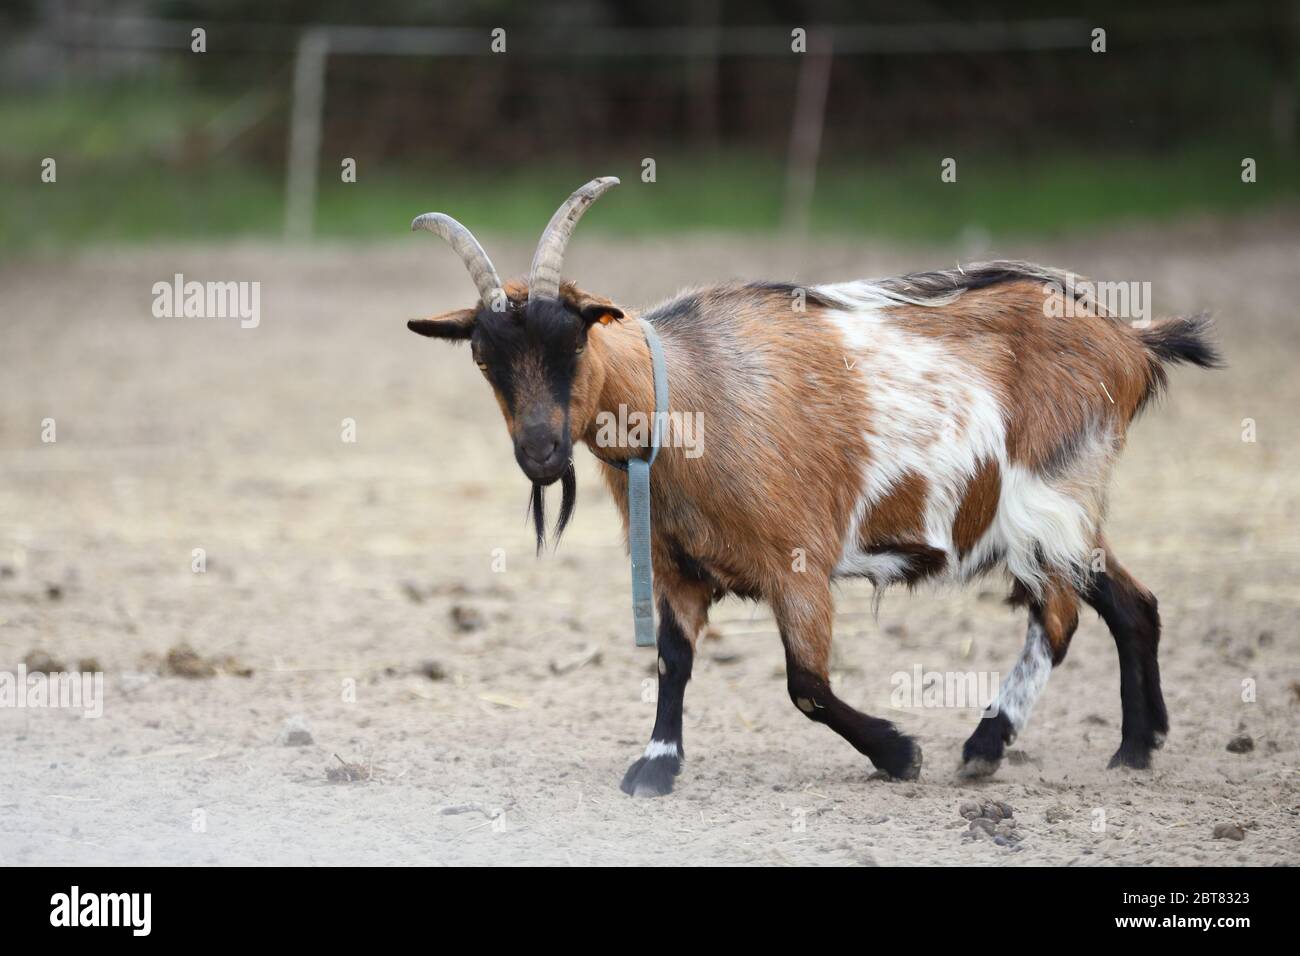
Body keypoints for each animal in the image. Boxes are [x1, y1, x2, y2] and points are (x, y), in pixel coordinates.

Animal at [407, 177, 1222, 796]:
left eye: (573, 341)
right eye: (484, 357)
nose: (541, 452)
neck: (686, 398)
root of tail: (1132, 343)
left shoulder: (798, 567)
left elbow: (806, 684)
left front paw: (900, 752)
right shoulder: (674, 566)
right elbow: (673, 662)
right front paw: (656, 767)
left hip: (1044, 499)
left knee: (1059, 613)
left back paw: (985, 745)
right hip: (1061, 509)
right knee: (1130, 601)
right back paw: (1135, 748)